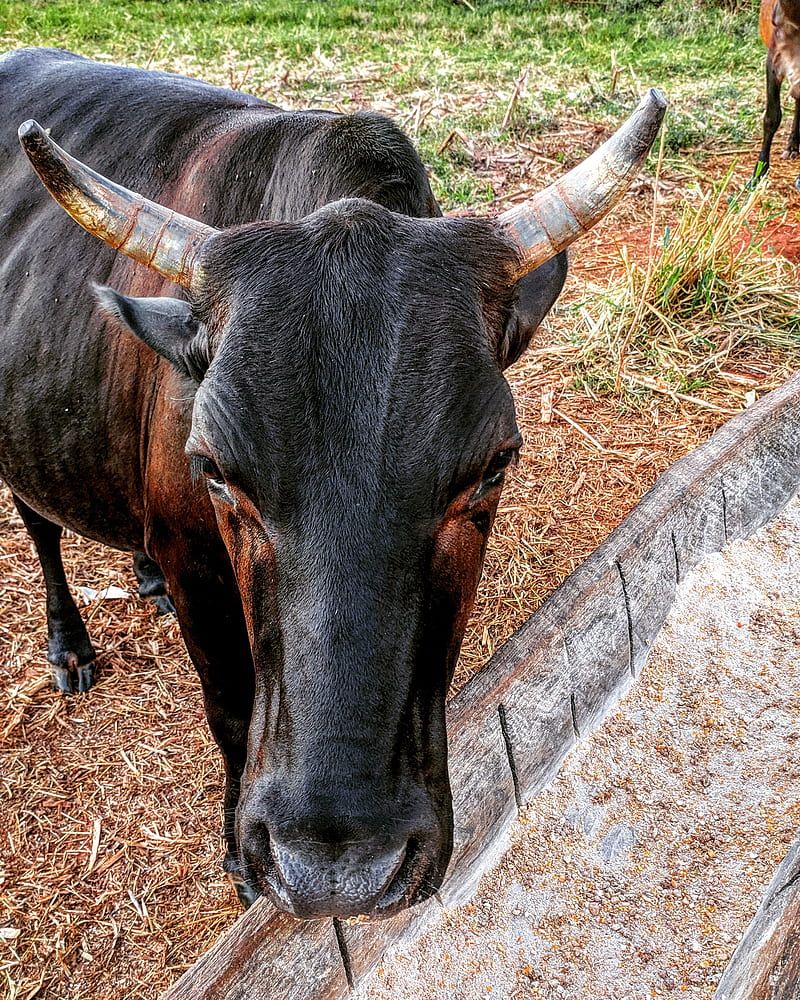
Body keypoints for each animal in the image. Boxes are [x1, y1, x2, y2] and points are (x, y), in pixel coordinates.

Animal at [0, 48, 664, 920]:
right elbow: (230, 707)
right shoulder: (195, 562)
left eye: (494, 464)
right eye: (213, 470)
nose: (339, 871)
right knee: (38, 520)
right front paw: (242, 864)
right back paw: (70, 646)